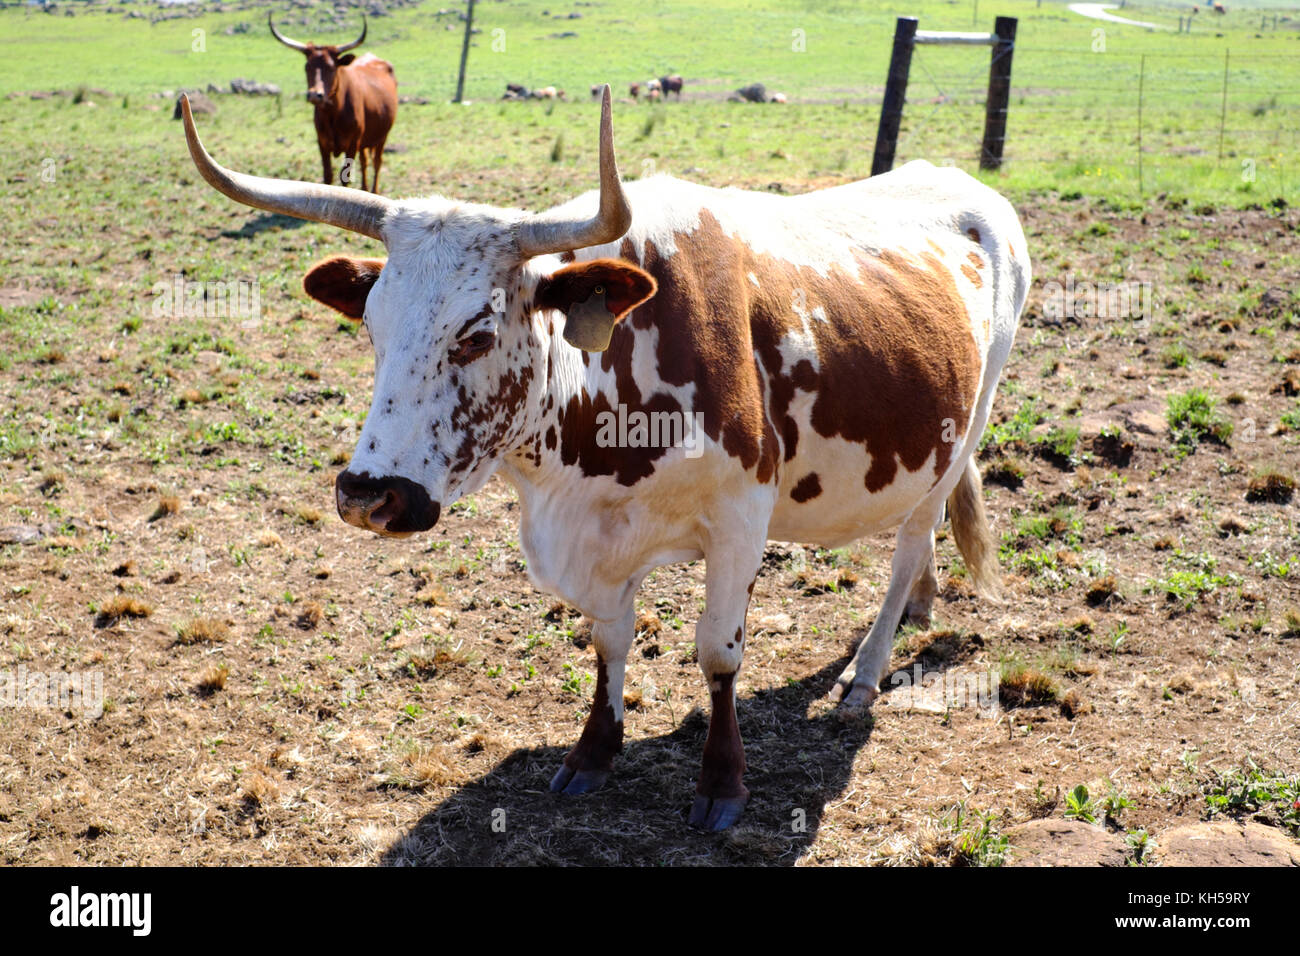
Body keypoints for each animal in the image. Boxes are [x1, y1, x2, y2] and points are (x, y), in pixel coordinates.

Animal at [177, 87, 1029, 831]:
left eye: (477, 332)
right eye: (372, 324)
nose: (368, 494)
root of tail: (962, 184)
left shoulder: (740, 520)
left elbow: (718, 652)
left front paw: (723, 782)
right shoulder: (592, 537)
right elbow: (608, 640)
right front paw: (593, 752)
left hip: (964, 429)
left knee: (909, 542)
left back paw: (870, 668)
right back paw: (918, 606)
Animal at [269, 12, 397, 194]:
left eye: (331, 67)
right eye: (307, 67)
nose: (315, 95)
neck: (334, 113)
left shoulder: (352, 144)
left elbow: (346, 177)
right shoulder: (322, 142)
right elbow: (327, 176)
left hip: (382, 136)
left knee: (377, 162)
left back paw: (374, 191)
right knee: (365, 162)